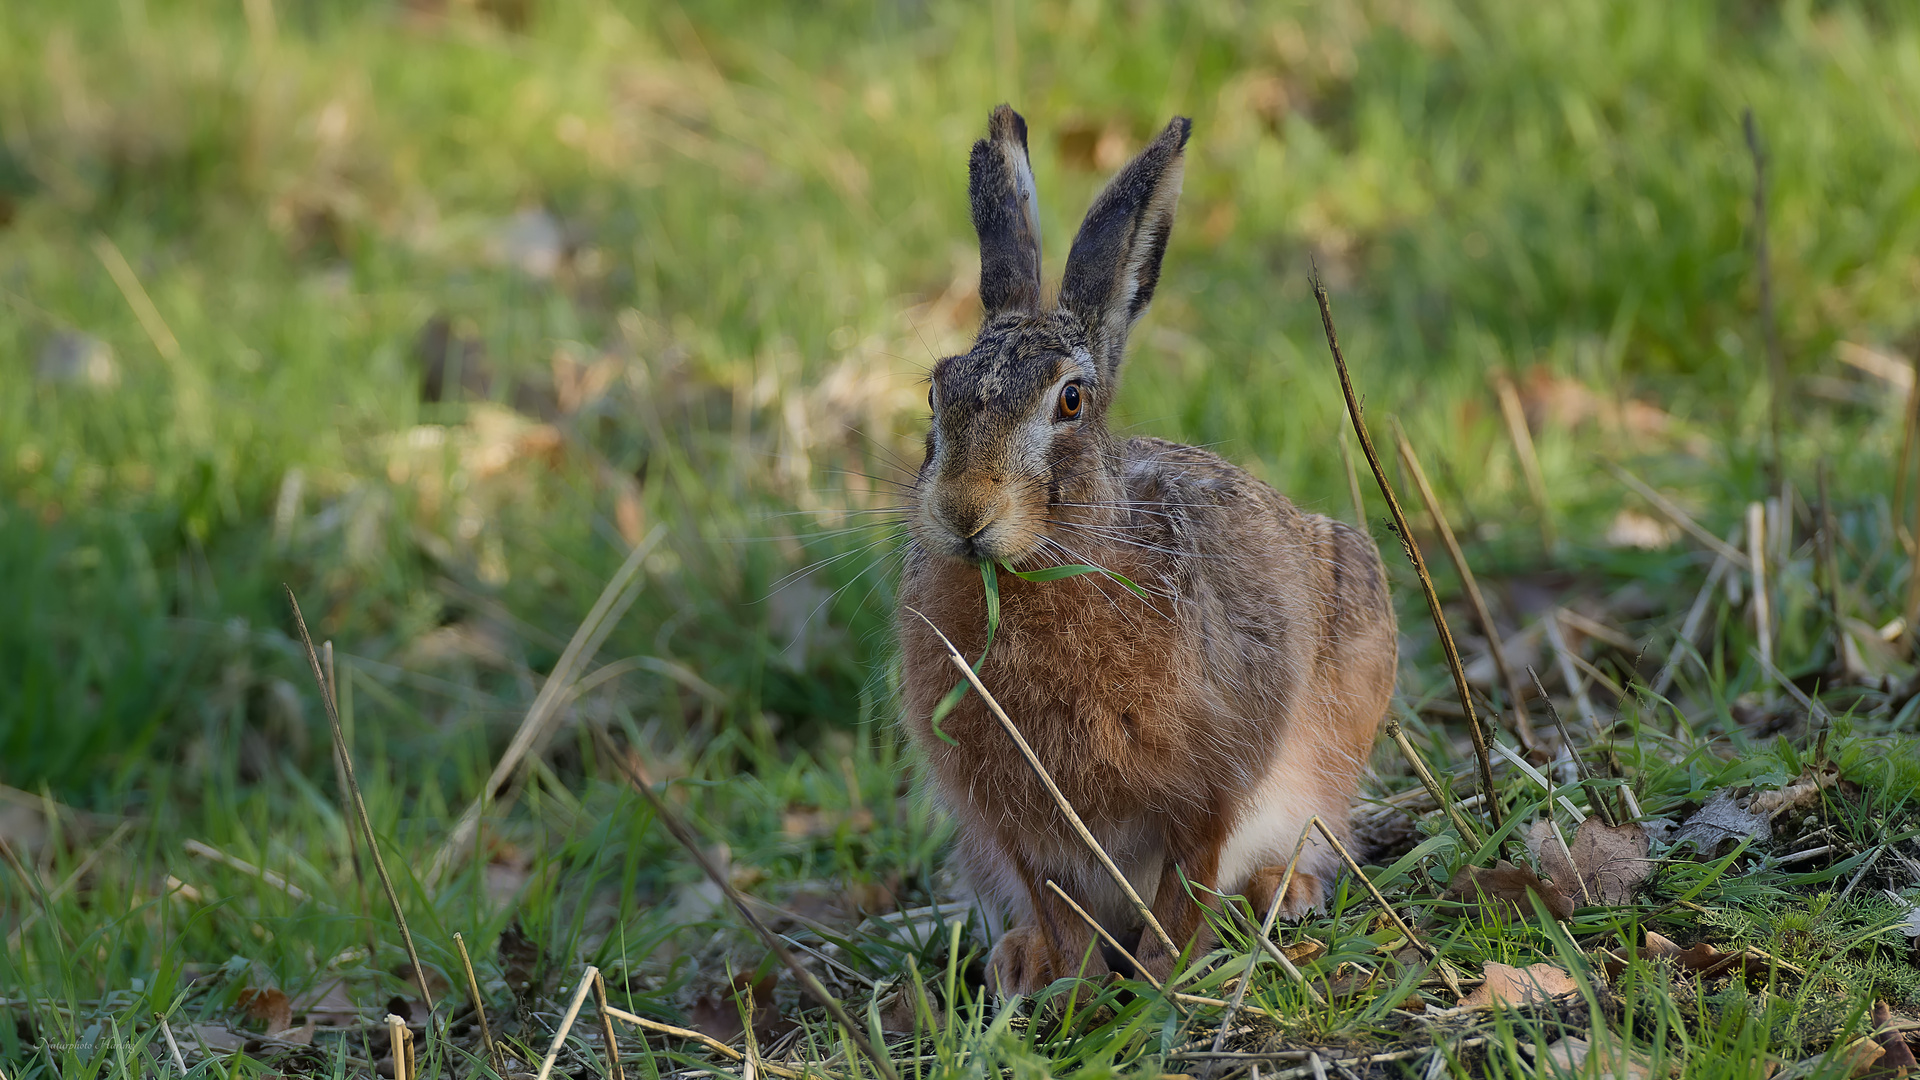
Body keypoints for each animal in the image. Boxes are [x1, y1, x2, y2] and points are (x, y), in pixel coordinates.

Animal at [897, 105, 1398, 997]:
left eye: (1070, 400)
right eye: (936, 391)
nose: (964, 512)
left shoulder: (1211, 782)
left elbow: (1189, 875)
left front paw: (1164, 974)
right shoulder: (1013, 822)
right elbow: (1053, 896)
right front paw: (1069, 981)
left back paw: (1284, 895)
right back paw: (1018, 958)